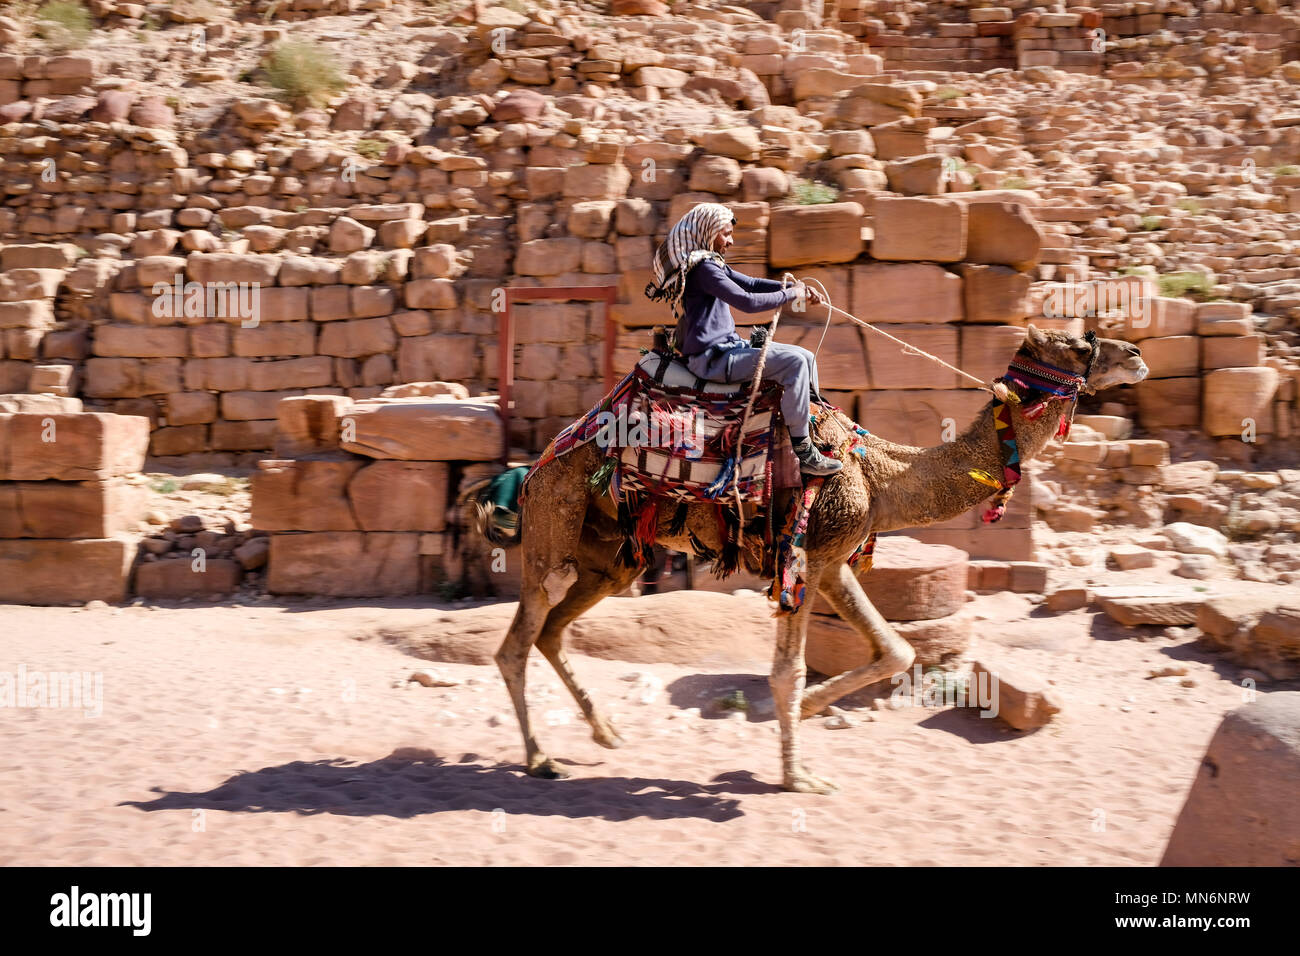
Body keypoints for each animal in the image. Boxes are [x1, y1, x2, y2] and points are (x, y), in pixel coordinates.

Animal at [496, 325, 1149, 793]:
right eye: (1082, 343)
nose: (1137, 353)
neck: (879, 474)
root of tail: (535, 466)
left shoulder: (832, 560)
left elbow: (897, 648)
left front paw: (809, 714)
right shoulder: (805, 557)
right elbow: (789, 671)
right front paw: (798, 775)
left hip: (612, 553)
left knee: (553, 629)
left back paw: (604, 732)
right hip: (556, 518)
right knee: (519, 637)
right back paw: (540, 758)